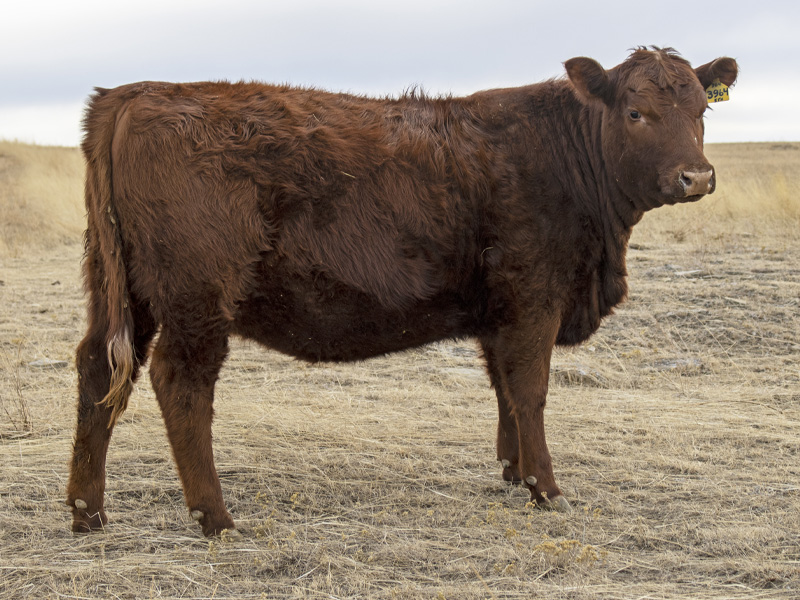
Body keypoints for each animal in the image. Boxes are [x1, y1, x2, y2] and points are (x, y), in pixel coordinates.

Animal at [67, 47, 738, 536]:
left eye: (702, 111)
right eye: (635, 112)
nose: (696, 176)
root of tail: (136, 92)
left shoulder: (499, 313)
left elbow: (503, 390)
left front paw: (511, 470)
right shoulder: (535, 300)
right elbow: (531, 391)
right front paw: (546, 488)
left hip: (119, 290)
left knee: (98, 368)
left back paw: (86, 512)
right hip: (197, 300)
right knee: (181, 383)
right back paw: (216, 517)